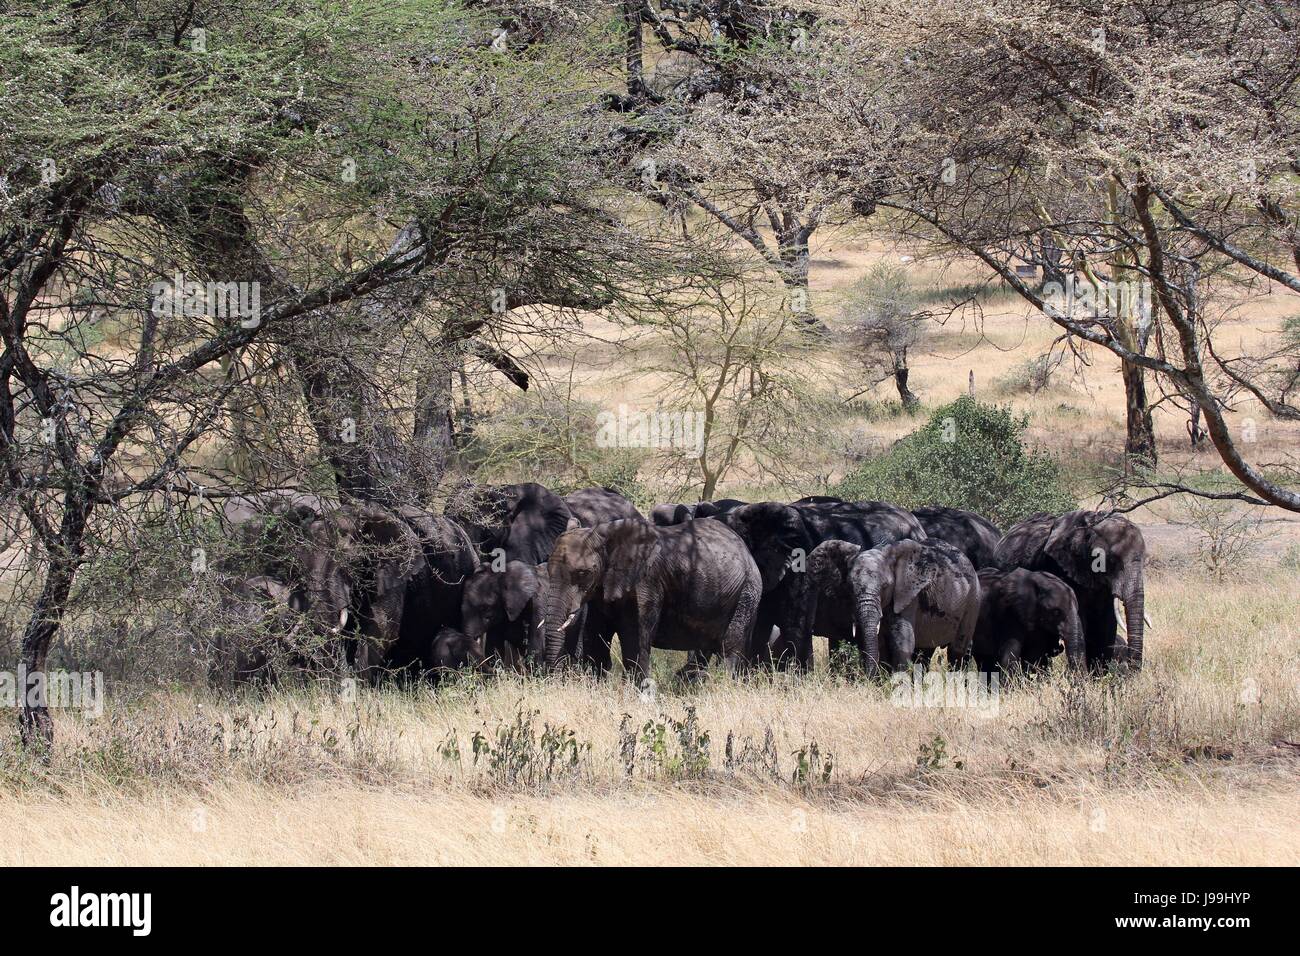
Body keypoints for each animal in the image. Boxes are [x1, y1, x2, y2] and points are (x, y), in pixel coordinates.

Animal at [542, 518, 762, 681]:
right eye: (548, 570)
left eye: (583, 573)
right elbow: (595, 640)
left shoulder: (647, 581)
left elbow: (636, 641)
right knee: (704, 650)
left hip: (746, 593)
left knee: (729, 650)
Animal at [808, 538, 980, 675]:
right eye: (850, 588)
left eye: (885, 586)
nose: (867, 678)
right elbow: (882, 645)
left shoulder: (908, 594)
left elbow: (901, 641)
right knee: (925, 651)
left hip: (972, 600)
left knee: (957, 649)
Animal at [993, 510, 1147, 669]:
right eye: (1111, 561)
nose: (1133, 671)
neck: (1091, 526)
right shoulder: (1061, 568)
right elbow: (1080, 620)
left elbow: (1106, 624)